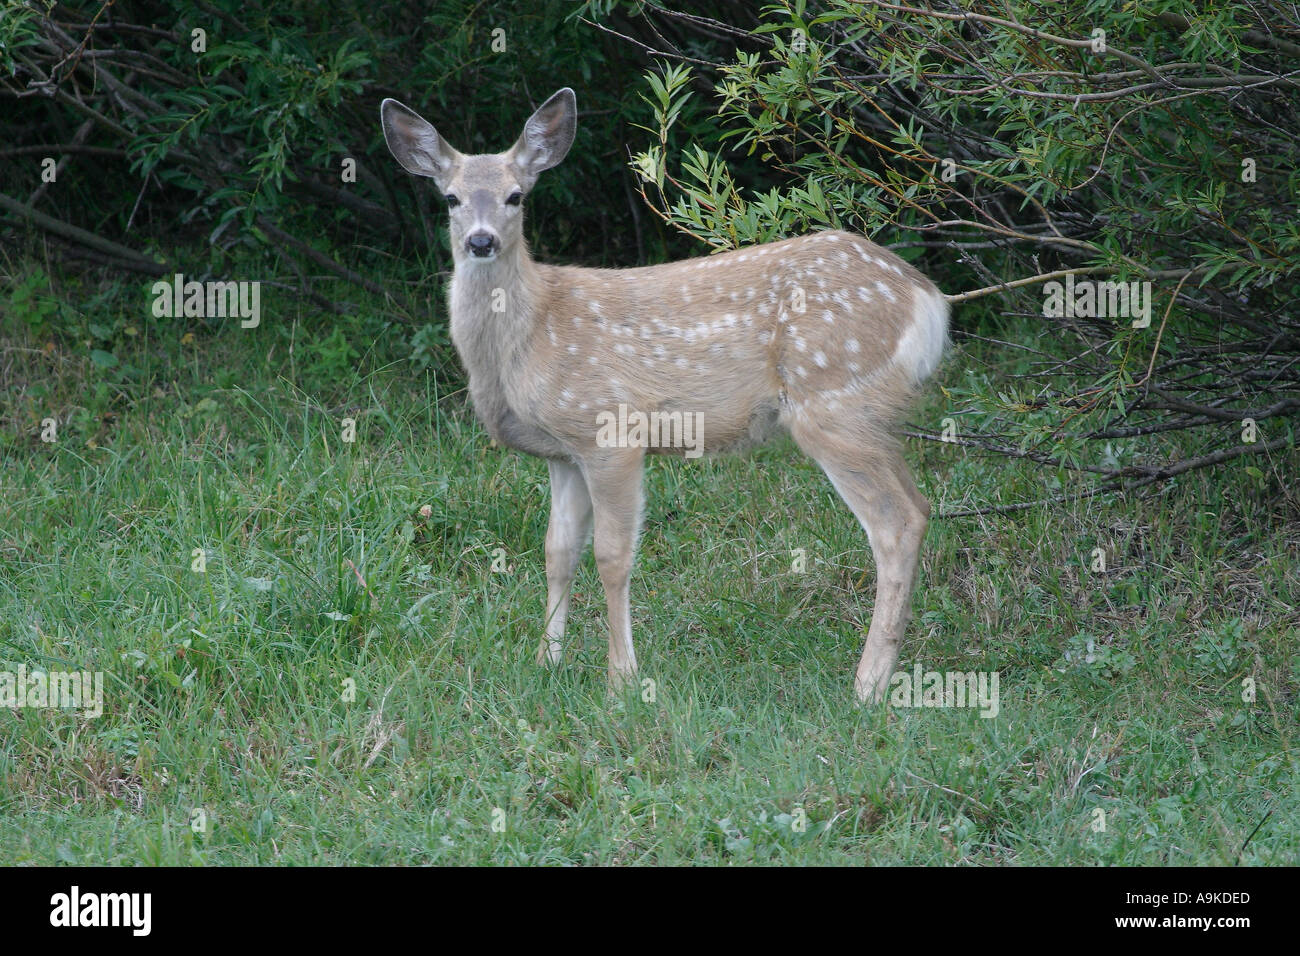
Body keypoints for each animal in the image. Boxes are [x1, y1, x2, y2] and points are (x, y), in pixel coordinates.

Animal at [379, 88, 948, 703]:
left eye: (516, 196)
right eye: (452, 198)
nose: (481, 240)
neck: (531, 335)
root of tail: (929, 301)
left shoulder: (610, 430)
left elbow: (611, 556)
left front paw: (622, 680)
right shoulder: (563, 452)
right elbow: (557, 552)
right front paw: (545, 662)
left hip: (833, 401)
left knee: (895, 524)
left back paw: (867, 686)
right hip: (871, 415)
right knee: (921, 506)